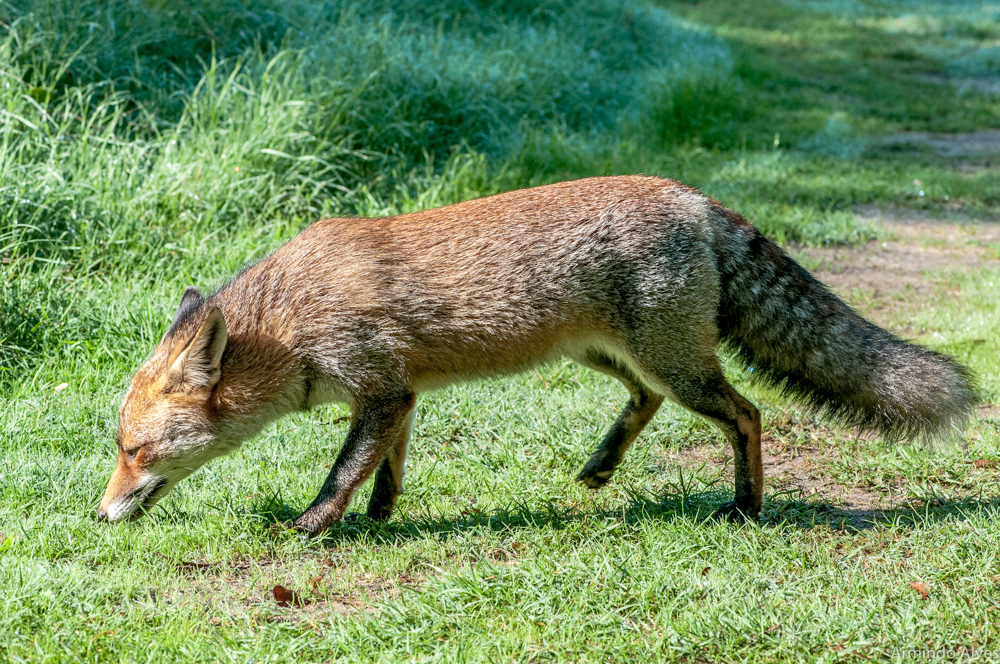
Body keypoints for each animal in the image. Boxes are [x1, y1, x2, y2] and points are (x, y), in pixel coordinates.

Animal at [97, 176, 978, 533]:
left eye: (133, 450)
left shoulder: (380, 389)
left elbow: (343, 471)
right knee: (648, 402)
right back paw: (599, 468)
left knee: (748, 414)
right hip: (608, 356)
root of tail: (694, 196)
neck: (293, 318)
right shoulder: (398, 394)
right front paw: (381, 517)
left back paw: (746, 505)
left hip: (677, 363)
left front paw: (315, 526)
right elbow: (386, 468)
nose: (100, 514)